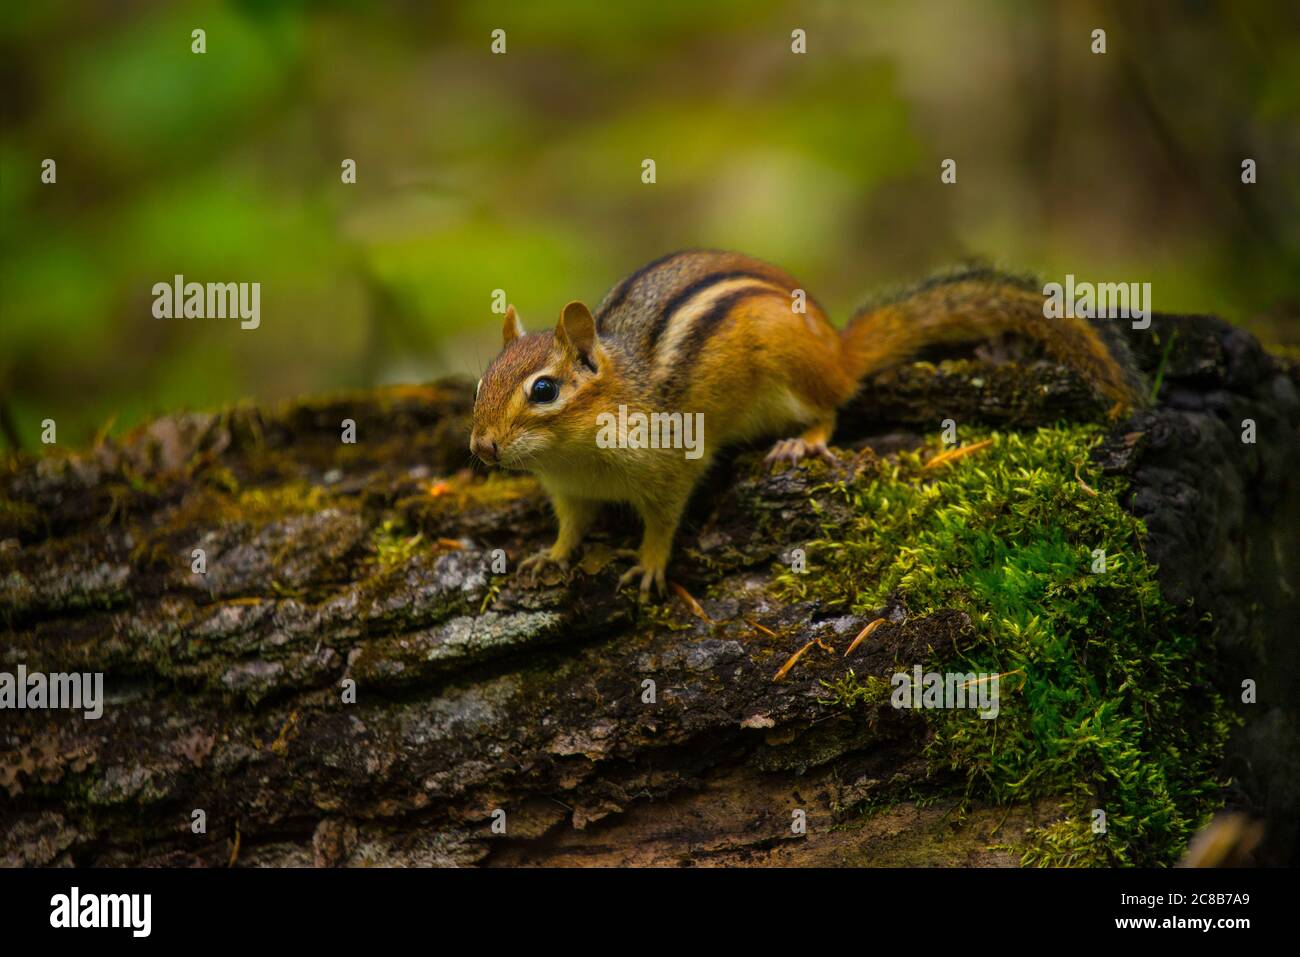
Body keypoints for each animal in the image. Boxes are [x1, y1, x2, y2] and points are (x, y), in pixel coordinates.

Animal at [470, 249, 1147, 597]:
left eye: (544, 390)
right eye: (481, 383)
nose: (481, 448)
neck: (576, 453)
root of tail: (836, 350)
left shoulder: (671, 463)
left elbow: (664, 519)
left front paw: (650, 563)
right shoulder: (569, 491)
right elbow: (571, 526)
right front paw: (550, 556)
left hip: (792, 372)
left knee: (831, 408)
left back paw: (803, 442)